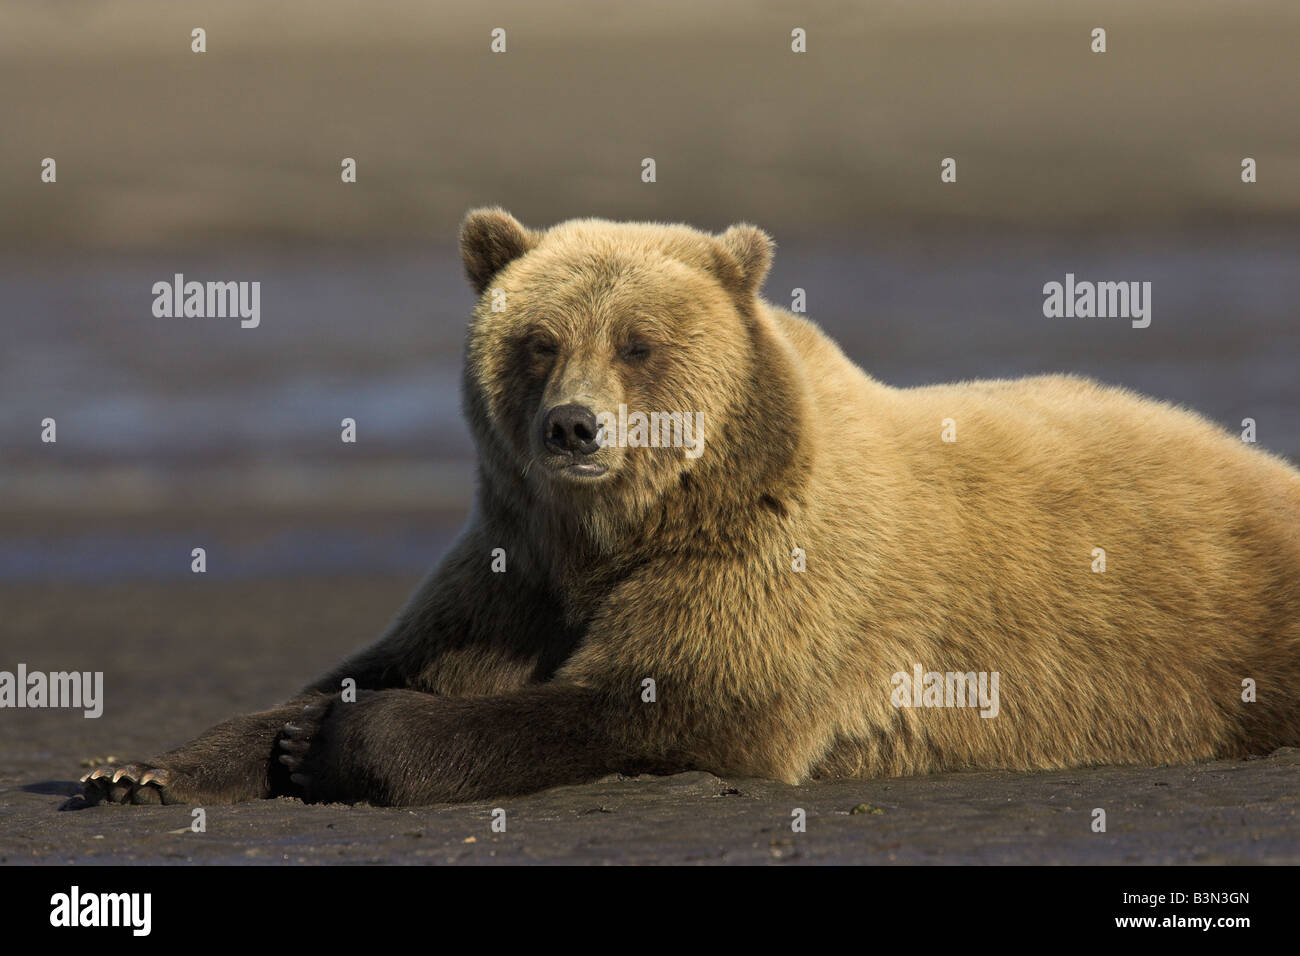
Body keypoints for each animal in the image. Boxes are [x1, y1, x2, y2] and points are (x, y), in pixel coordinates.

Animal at [83, 208, 1300, 807]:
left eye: (638, 342)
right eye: (538, 341)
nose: (575, 429)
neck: (614, 534)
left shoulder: (769, 571)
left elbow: (652, 699)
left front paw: (339, 741)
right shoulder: (510, 566)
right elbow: (387, 657)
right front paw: (145, 766)